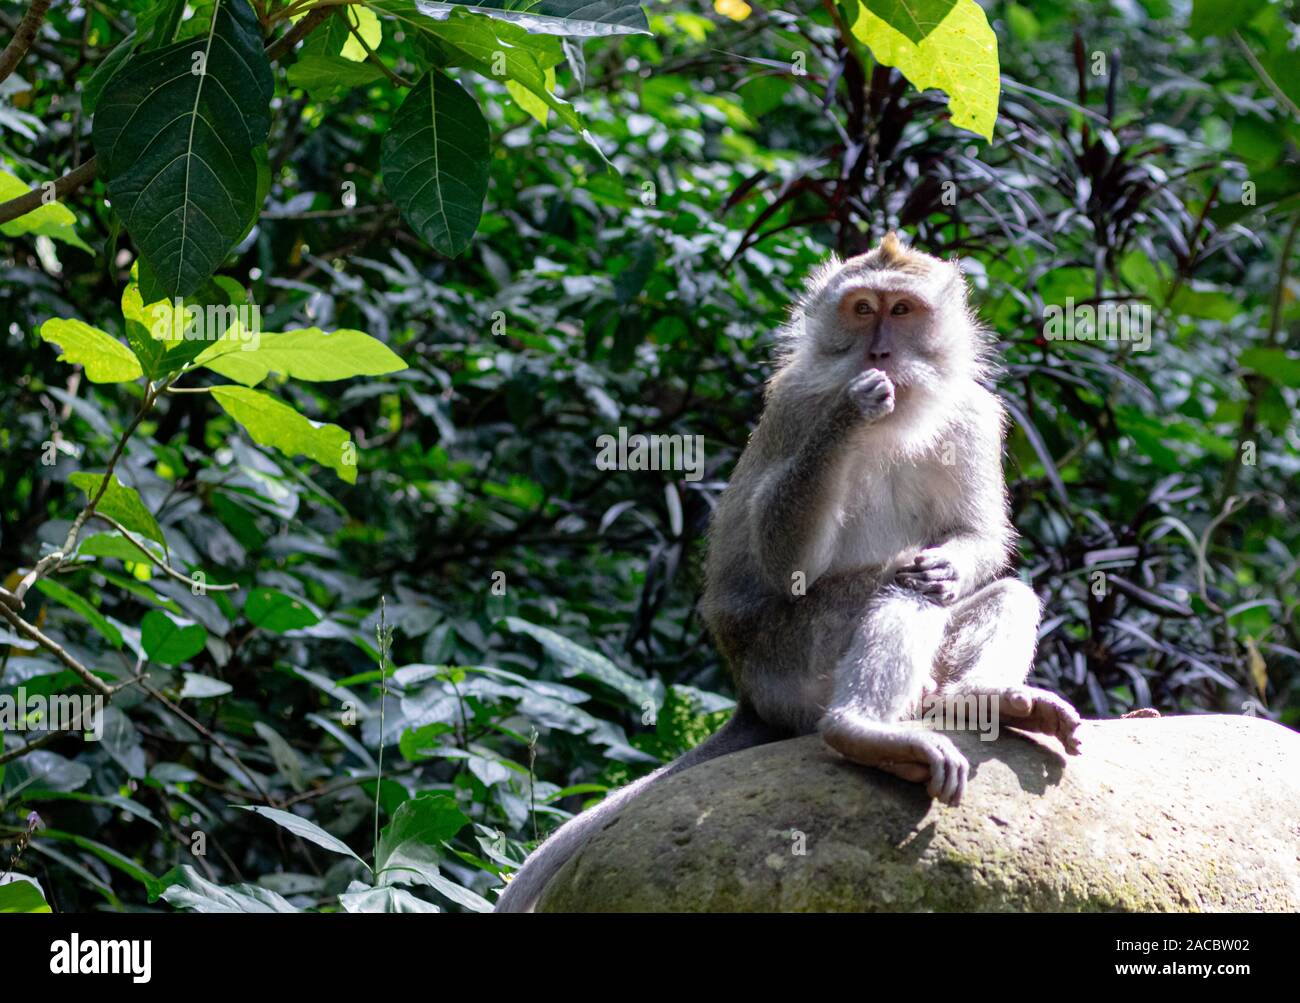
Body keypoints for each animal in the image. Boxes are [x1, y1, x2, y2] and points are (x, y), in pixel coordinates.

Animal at [494, 232, 1082, 912]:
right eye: (861, 308)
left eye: (902, 310)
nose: (878, 351)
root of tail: (751, 698)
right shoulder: (797, 404)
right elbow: (784, 560)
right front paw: (850, 413)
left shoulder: (975, 416)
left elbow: (976, 536)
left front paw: (952, 564)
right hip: (787, 664)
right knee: (896, 590)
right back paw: (865, 733)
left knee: (991, 594)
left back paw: (991, 700)